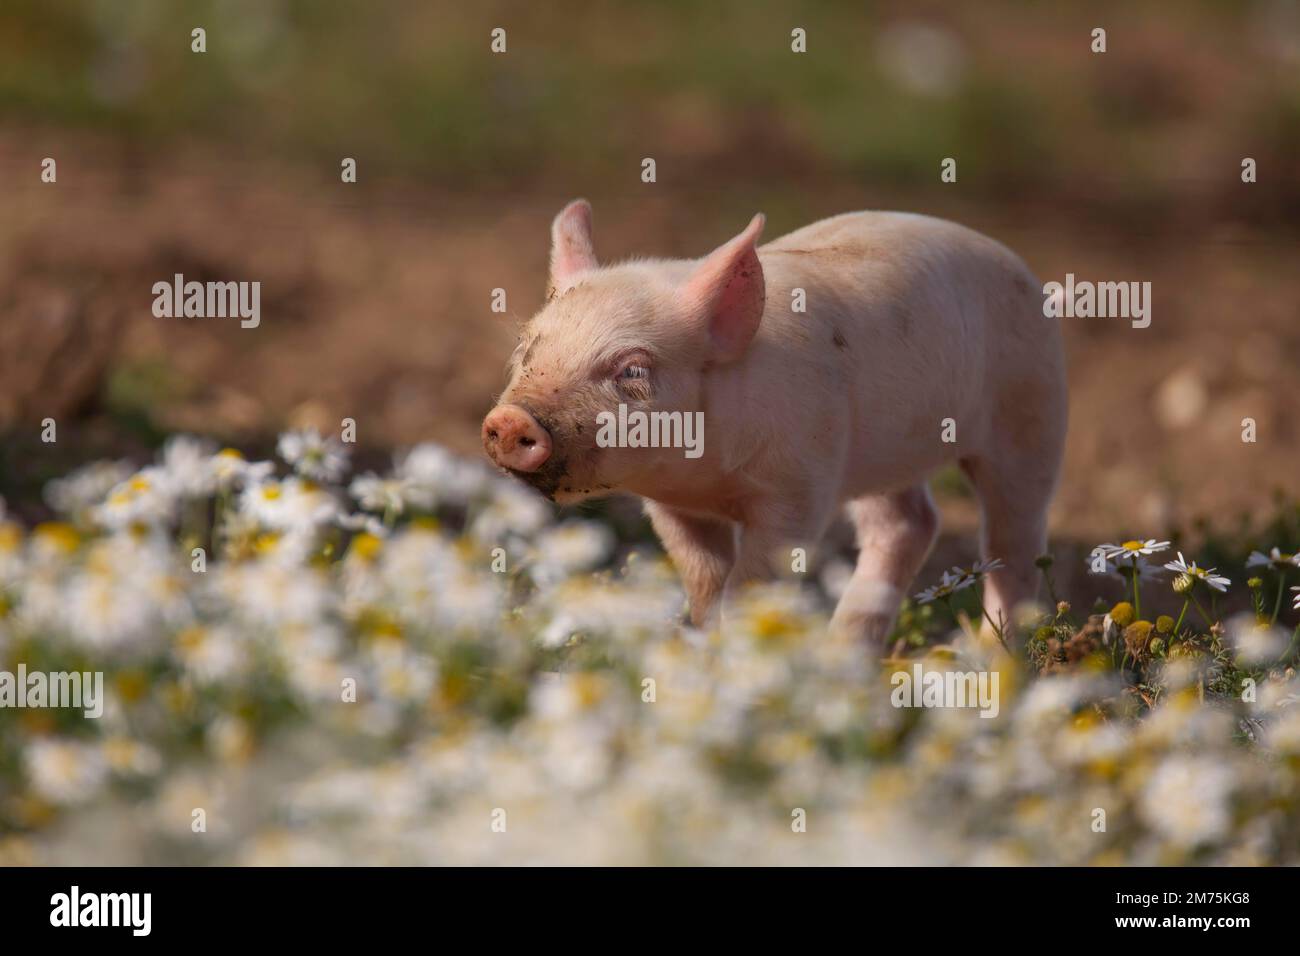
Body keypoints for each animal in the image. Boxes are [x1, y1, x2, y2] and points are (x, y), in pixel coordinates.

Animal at [482, 200, 1067, 646]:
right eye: (527, 346)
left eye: (632, 369)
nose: (509, 419)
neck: (706, 476)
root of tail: (1019, 268)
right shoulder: (672, 507)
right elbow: (704, 580)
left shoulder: (799, 487)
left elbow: (752, 584)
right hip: (878, 454)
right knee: (909, 523)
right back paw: (846, 653)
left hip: (1030, 413)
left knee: (1013, 542)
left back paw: (991, 658)